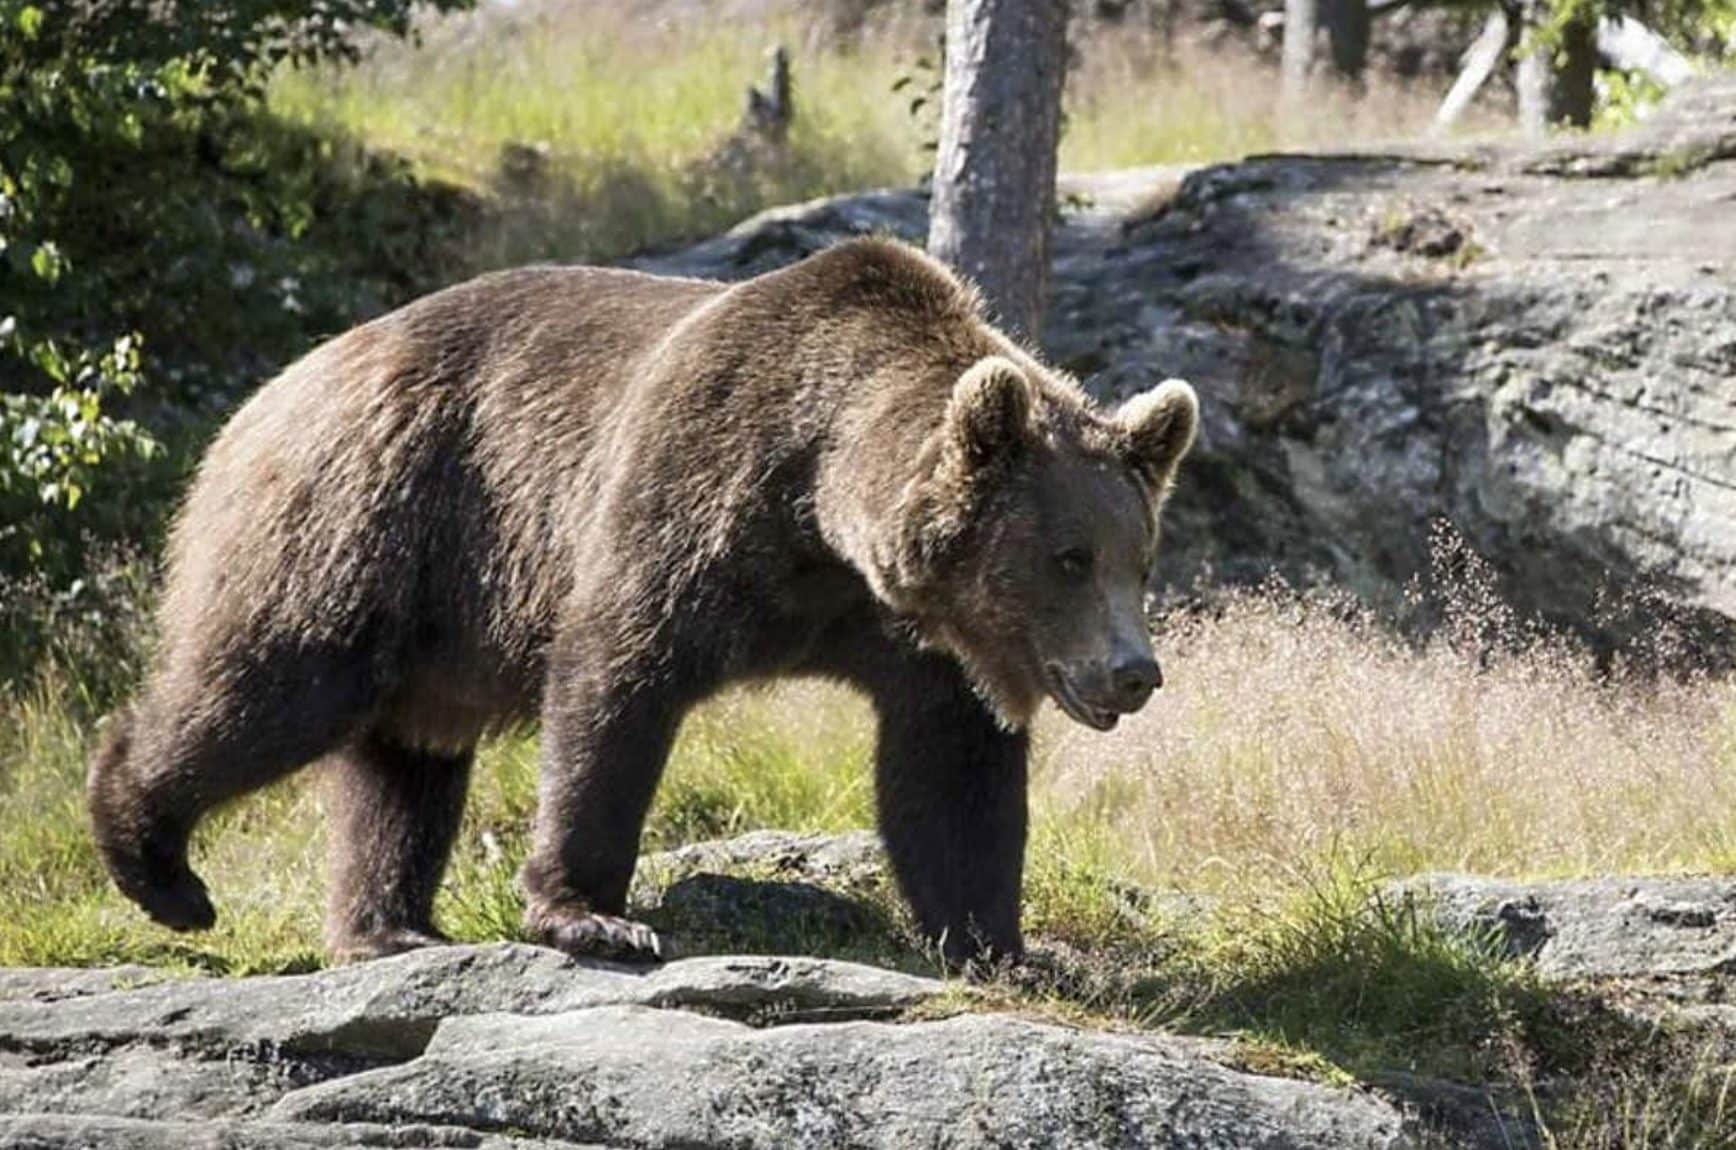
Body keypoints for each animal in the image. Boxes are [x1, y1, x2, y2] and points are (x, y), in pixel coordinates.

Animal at [87, 237, 1198, 965]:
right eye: (1068, 556)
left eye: (1138, 556)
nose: (1133, 673)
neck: (820, 509)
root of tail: (275, 388)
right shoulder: (690, 495)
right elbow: (615, 684)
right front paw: (593, 912)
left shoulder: (912, 634)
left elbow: (951, 774)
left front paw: (1003, 943)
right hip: (369, 516)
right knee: (278, 684)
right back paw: (158, 864)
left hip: (431, 612)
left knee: (406, 761)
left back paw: (389, 924)